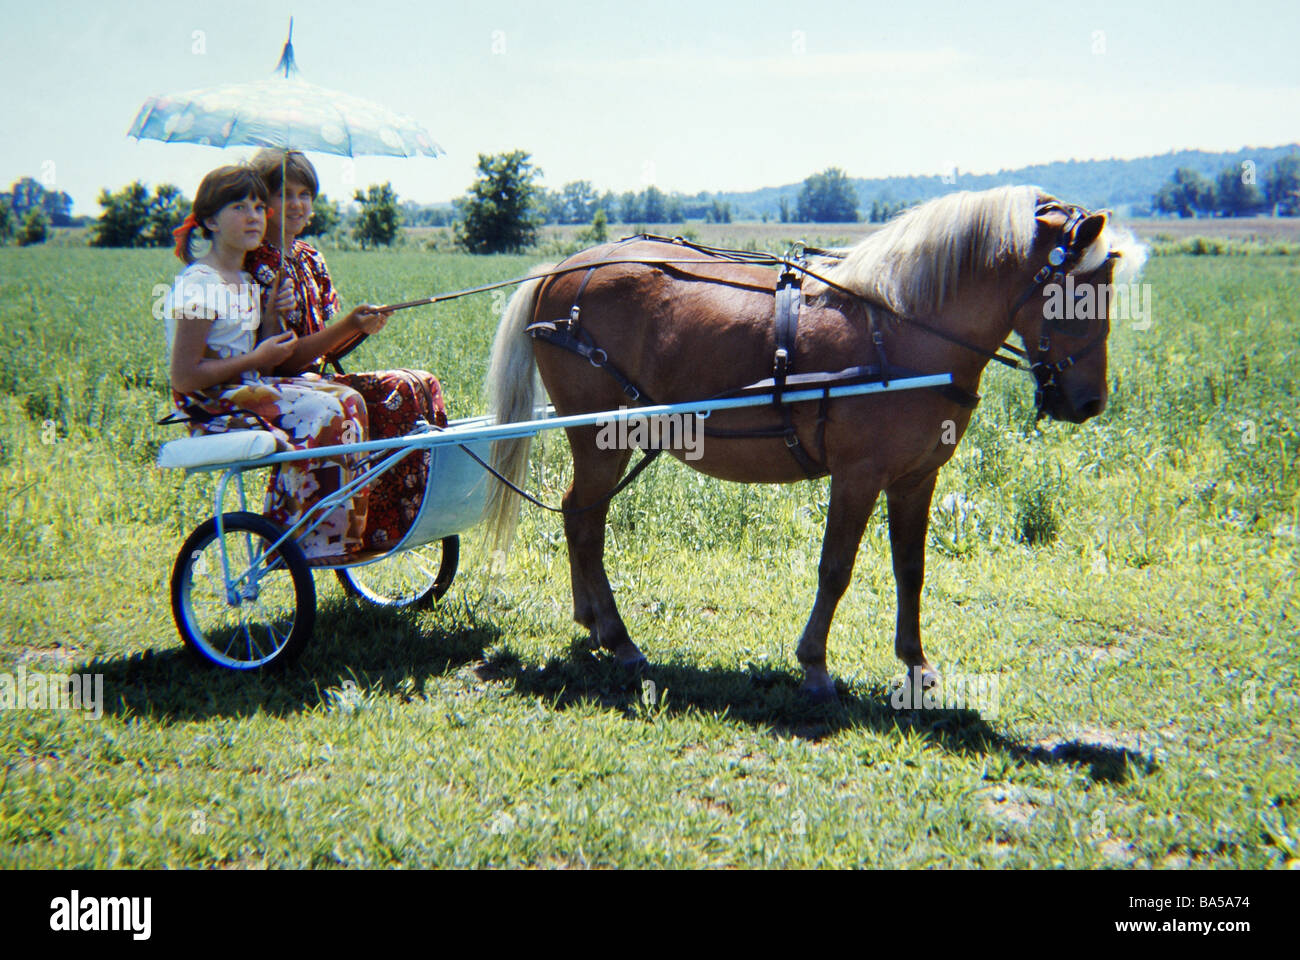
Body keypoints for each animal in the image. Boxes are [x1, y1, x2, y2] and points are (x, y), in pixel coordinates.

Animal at [482, 185, 1146, 702]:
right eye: (1077, 294)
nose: (1089, 403)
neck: (901, 326)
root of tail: (564, 270)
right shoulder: (858, 476)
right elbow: (836, 569)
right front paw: (815, 666)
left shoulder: (916, 478)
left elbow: (911, 569)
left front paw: (915, 663)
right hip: (600, 438)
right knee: (583, 520)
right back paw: (620, 639)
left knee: (580, 516)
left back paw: (595, 624)